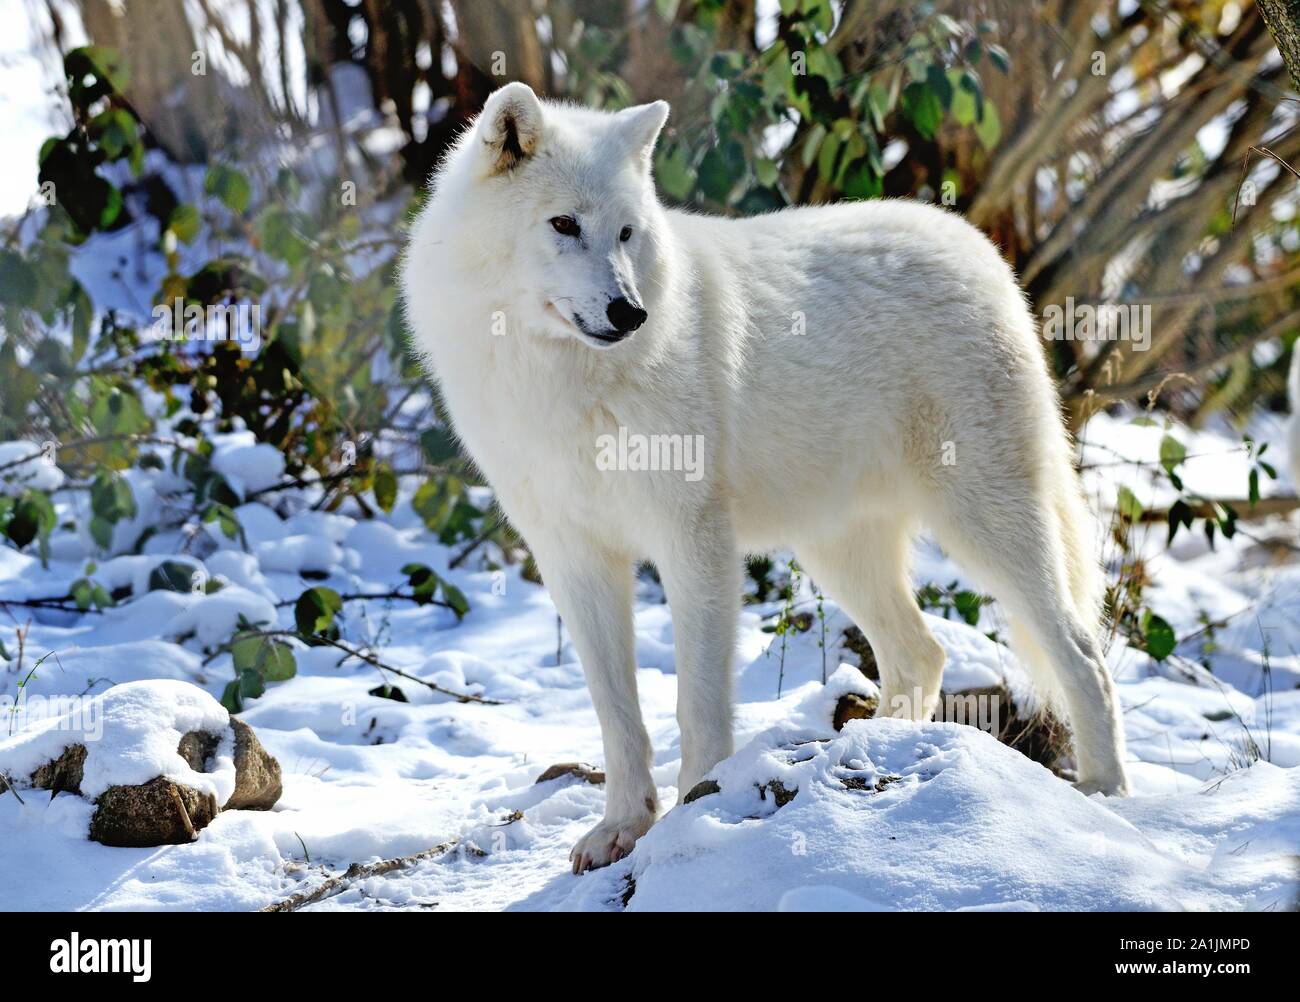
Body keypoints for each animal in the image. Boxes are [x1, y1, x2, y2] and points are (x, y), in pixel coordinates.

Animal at [402, 83, 1130, 873]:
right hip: (840, 553)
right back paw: (881, 751)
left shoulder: (693, 541)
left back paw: (1105, 793)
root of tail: (979, 249)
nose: (631, 312)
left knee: (1081, 656)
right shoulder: (575, 558)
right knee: (922, 653)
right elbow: (618, 714)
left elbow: (698, 703)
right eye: (563, 224)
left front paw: (689, 819)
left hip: (985, 526)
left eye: (626, 233)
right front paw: (621, 828)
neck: (560, 378)